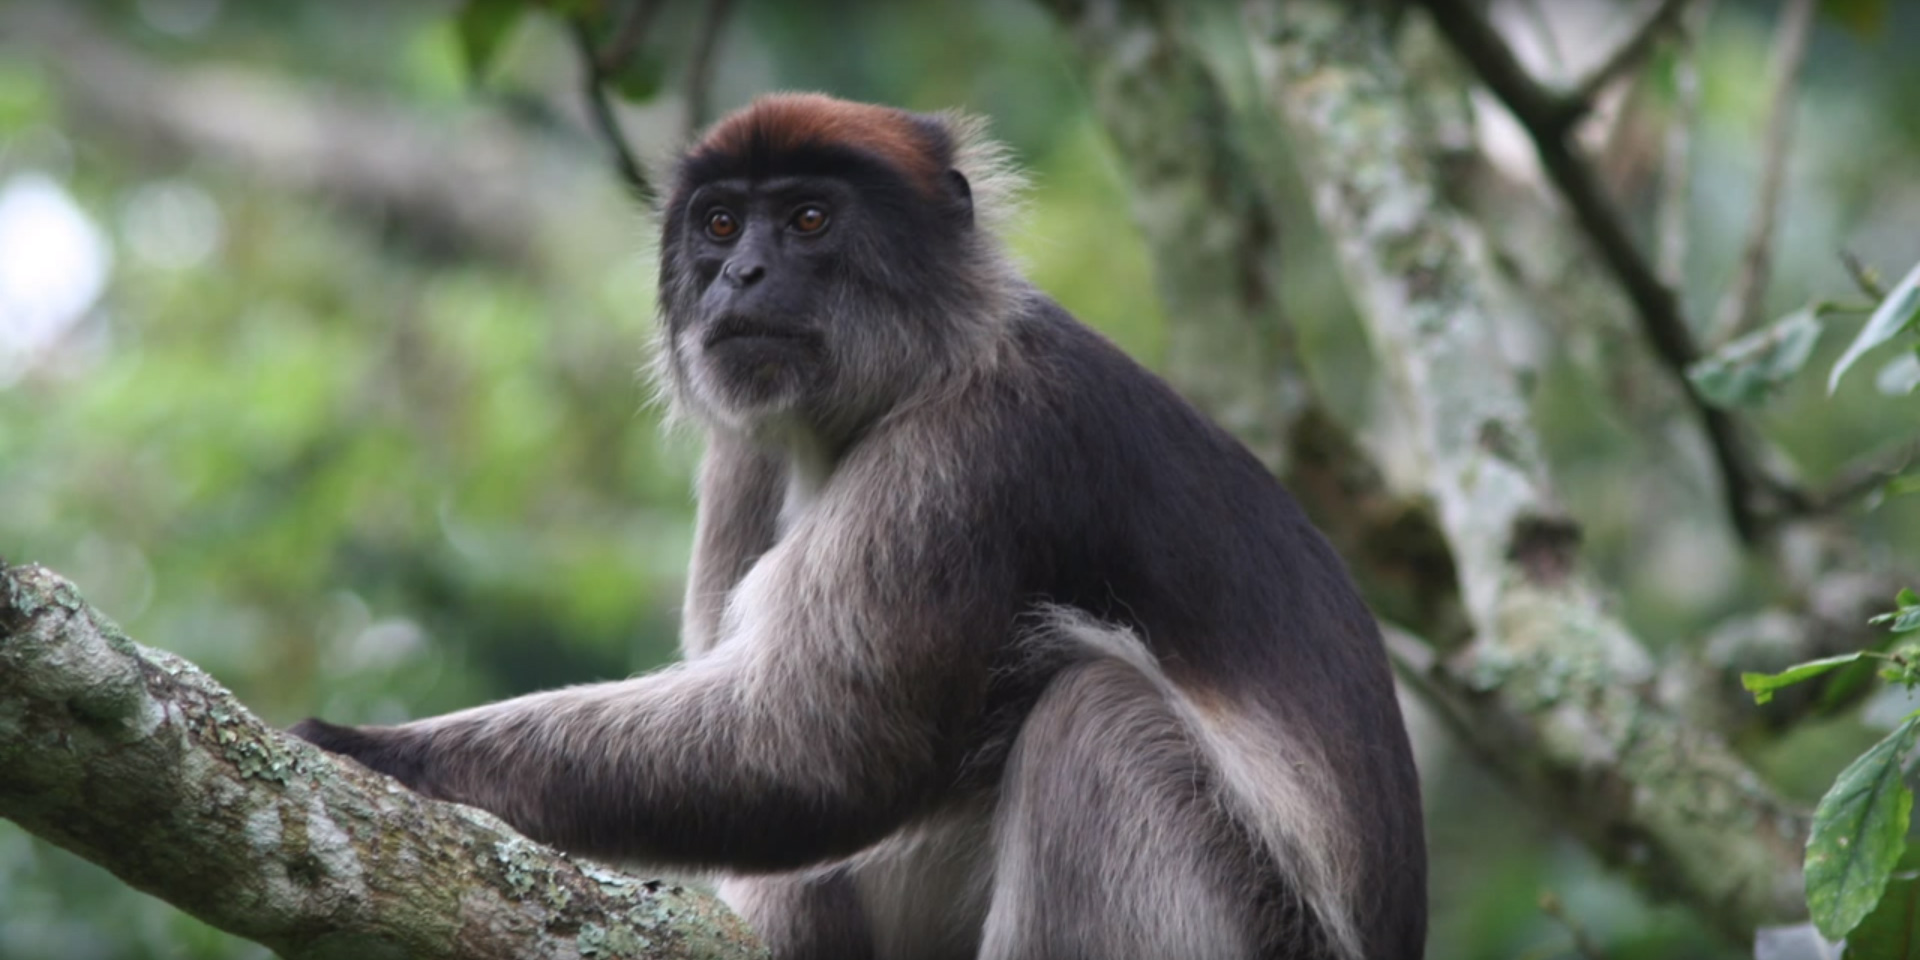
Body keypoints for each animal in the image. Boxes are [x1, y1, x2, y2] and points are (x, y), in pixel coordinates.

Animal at [292, 93, 1427, 960]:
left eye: (806, 220)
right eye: (719, 227)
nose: (741, 276)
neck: (901, 382)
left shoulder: (980, 446)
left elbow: (826, 749)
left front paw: (370, 751)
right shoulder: (746, 452)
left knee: (1092, 716)